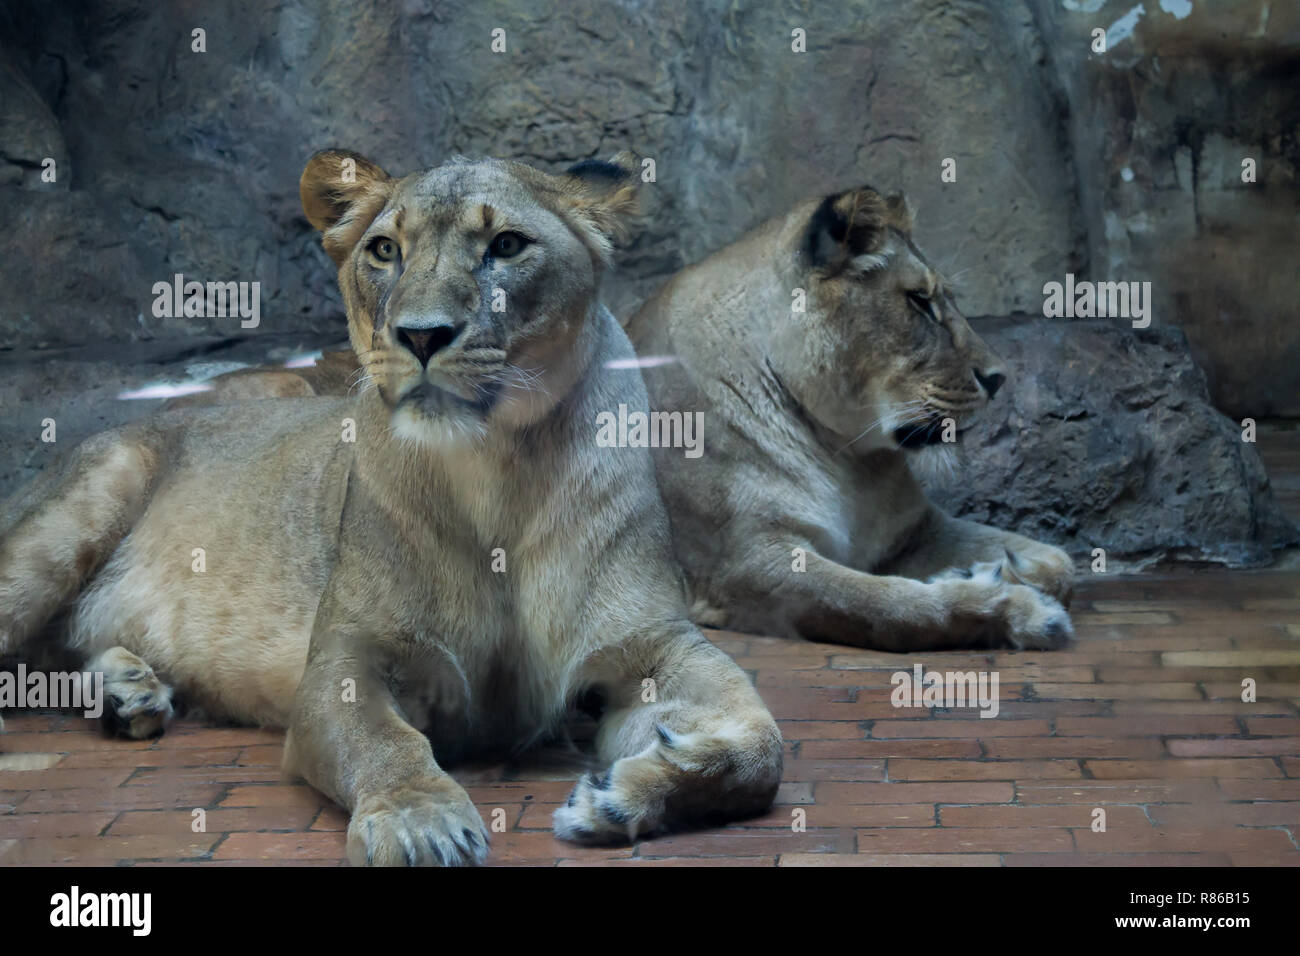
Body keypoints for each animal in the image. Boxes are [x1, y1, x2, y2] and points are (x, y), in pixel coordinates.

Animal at [0, 150, 782, 865]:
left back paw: (127, 692)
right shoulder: (345, 657)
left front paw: (619, 797)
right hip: (87, 499)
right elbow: (384, 742)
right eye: (384, 250)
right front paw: (419, 824)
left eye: (506, 246)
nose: (422, 335)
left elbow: (762, 747)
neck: (495, 476)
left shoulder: (652, 643)